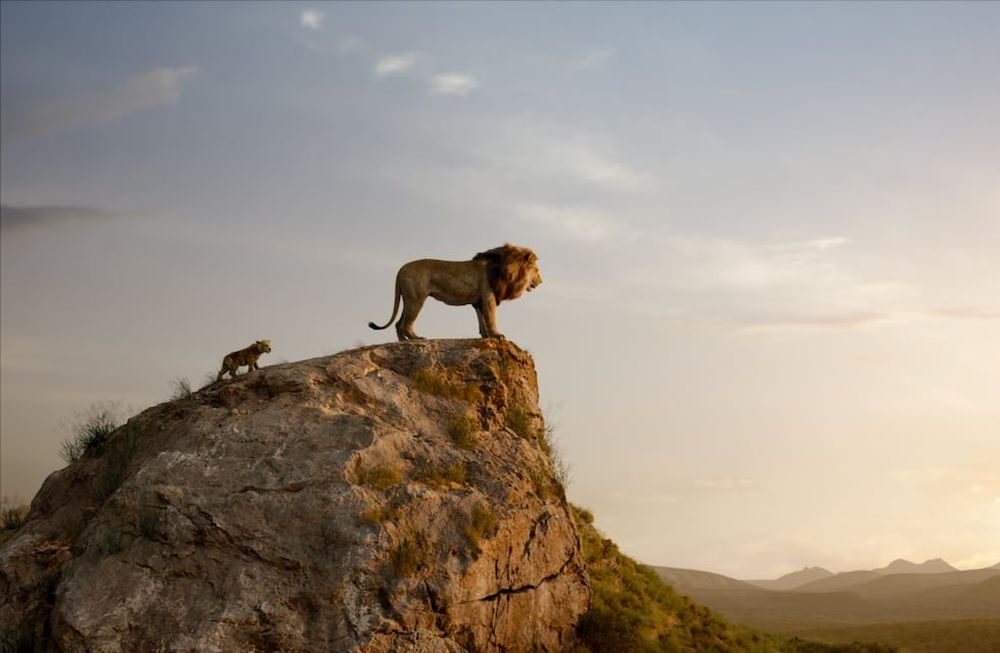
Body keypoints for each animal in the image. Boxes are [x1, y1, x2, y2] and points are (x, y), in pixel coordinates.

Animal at [368, 244, 542, 341]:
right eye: (537, 270)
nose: (541, 281)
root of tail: (401, 269)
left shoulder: (479, 301)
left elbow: (482, 320)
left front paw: (486, 336)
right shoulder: (488, 295)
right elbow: (491, 317)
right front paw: (497, 335)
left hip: (408, 299)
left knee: (398, 323)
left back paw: (403, 342)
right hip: (417, 299)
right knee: (405, 323)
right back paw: (416, 338)